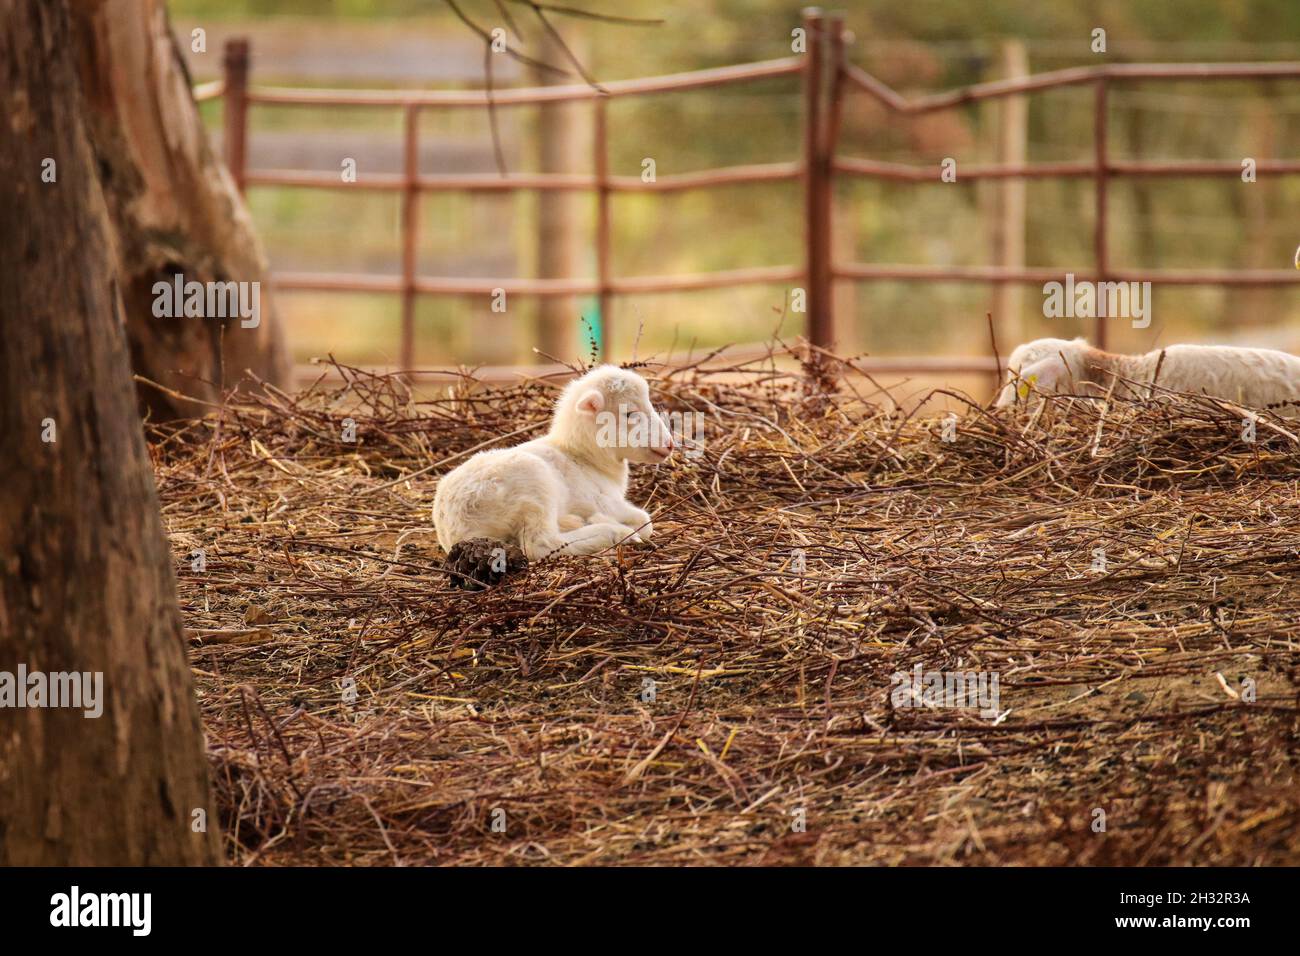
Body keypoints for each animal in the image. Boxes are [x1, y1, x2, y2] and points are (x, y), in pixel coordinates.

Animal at [433, 365, 675, 562]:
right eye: (629, 413)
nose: (670, 444)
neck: (584, 456)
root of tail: (453, 527)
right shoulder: (599, 500)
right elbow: (645, 521)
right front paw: (613, 524)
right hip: (533, 483)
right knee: (540, 544)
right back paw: (615, 532)